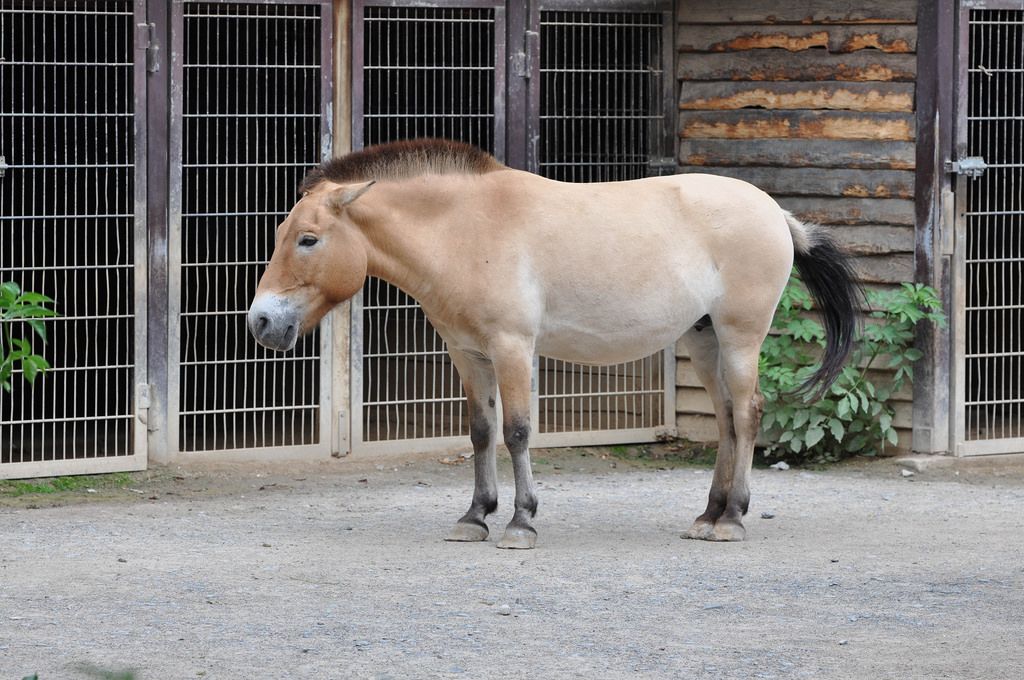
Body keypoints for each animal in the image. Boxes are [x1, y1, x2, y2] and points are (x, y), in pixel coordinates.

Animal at [248, 139, 859, 549]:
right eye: (279, 235)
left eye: (308, 240)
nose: (260, 322)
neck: (464, 229)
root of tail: (775, 212)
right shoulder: (468, 354)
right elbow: (480, 432)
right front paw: (474, 517)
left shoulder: (513, 348)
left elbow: (517, 432)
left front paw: (521, 522)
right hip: (705, 340)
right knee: (728, 419)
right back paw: (708, 515)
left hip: (740, 336)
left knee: (750, 414)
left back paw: (732, 520)